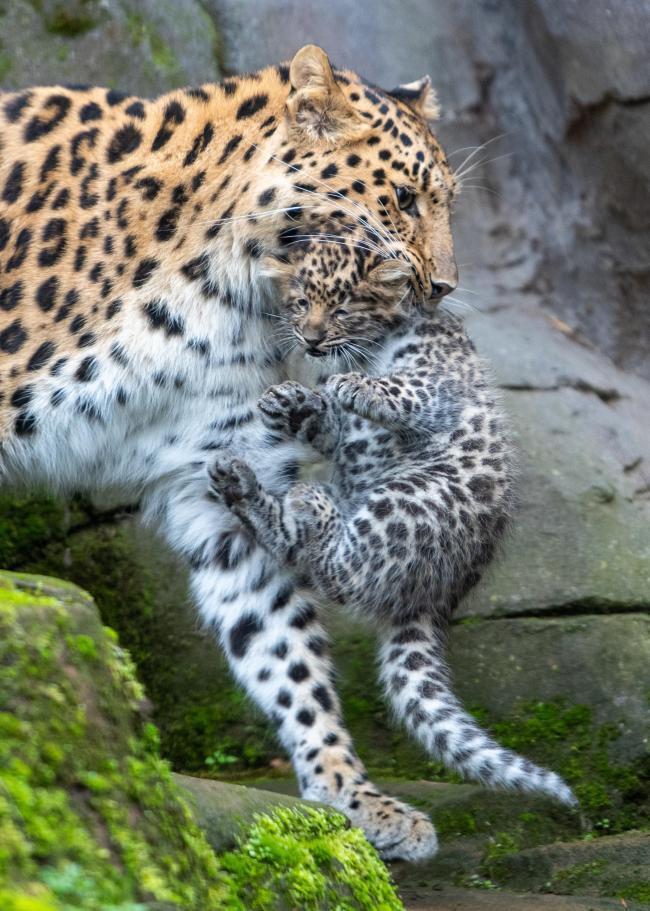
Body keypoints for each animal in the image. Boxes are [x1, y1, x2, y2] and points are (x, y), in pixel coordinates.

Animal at [0, 44, 465, 860]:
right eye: (406, 199)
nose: (443, 286)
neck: (220, 284)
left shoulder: (214, 476)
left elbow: (283, 644)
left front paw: (350, 793)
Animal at [207, 237, 577, 816]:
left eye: (342, 309)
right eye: (300, 304)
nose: (311, 340)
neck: (376, 344)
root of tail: (441, 595)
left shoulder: (436, 382)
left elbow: (401, 391)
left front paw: (354, 387)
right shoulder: (339, 434)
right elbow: (327, 423)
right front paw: (292, 400)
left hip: (404, 499)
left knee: (334, 566)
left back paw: (302, 497)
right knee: (304, 550)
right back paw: (241, 479)